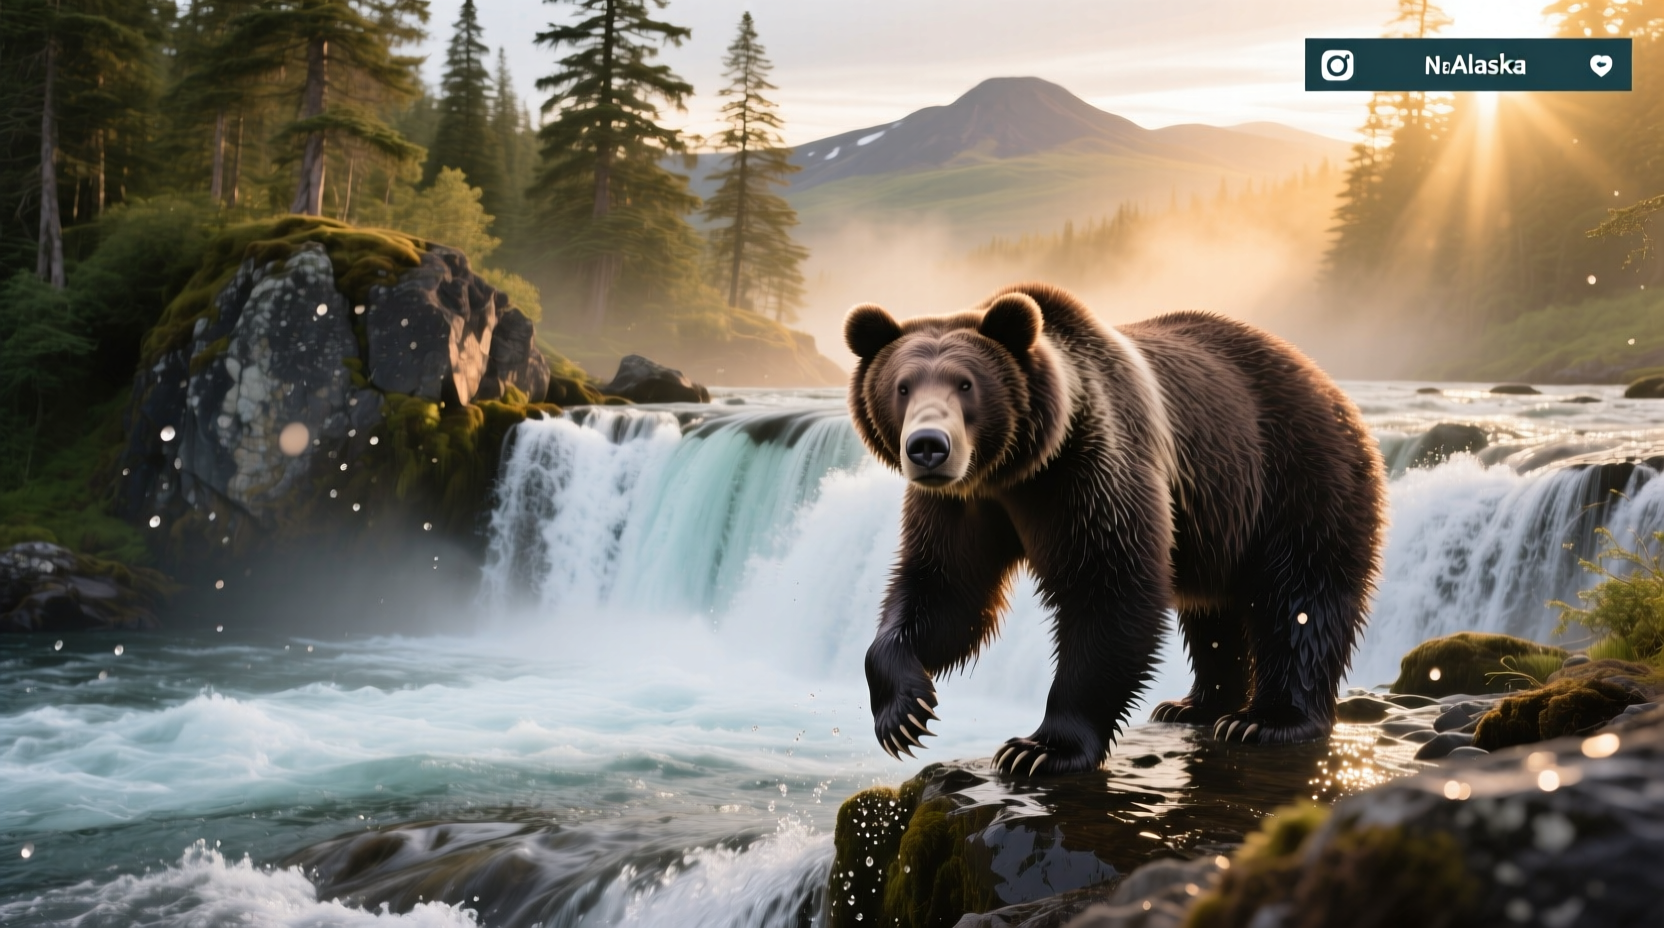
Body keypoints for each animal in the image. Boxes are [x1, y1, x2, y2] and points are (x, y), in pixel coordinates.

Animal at [845, 283, 1385, 776]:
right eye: (901, 386)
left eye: (965, 384)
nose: (928, 446)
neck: (1017, 468)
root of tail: (1329, 385)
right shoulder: (962, 505)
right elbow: (946, 591)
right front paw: (904, 713)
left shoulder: (1093, 467)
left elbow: (1109, 587)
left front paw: (1040, 748)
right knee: (1214, 613)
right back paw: (1194, 705)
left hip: (1297, 476)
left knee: (1302, 597)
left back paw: (1266, 719)